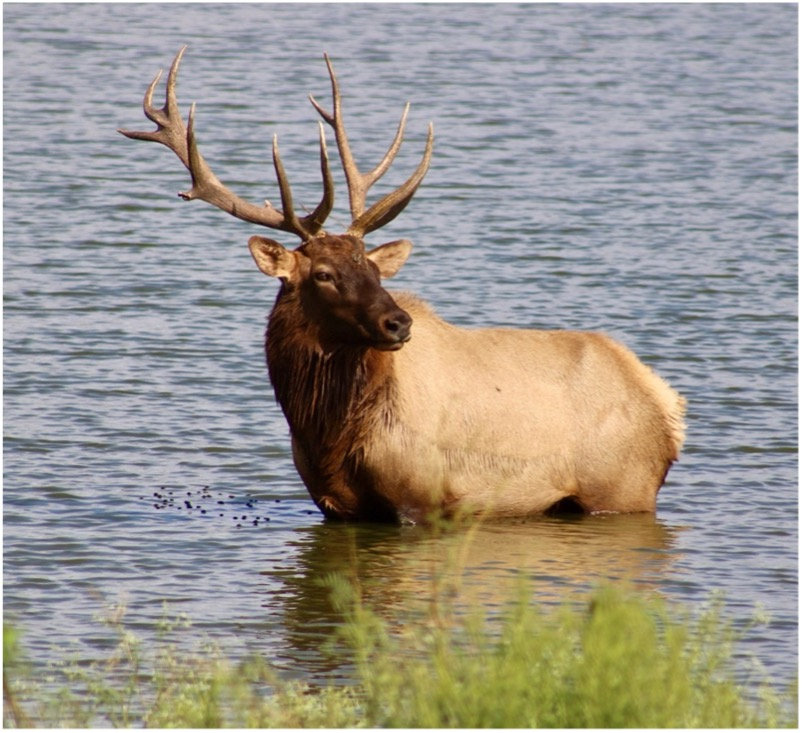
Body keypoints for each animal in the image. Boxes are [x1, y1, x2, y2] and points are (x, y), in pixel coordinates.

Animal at [119, 47, 686, 524]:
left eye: (373, 270)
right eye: (324, 274)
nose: (398, 322)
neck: (328, 434)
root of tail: (667, 404)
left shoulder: (423, 496)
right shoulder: (336, 508)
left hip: (620, 489)